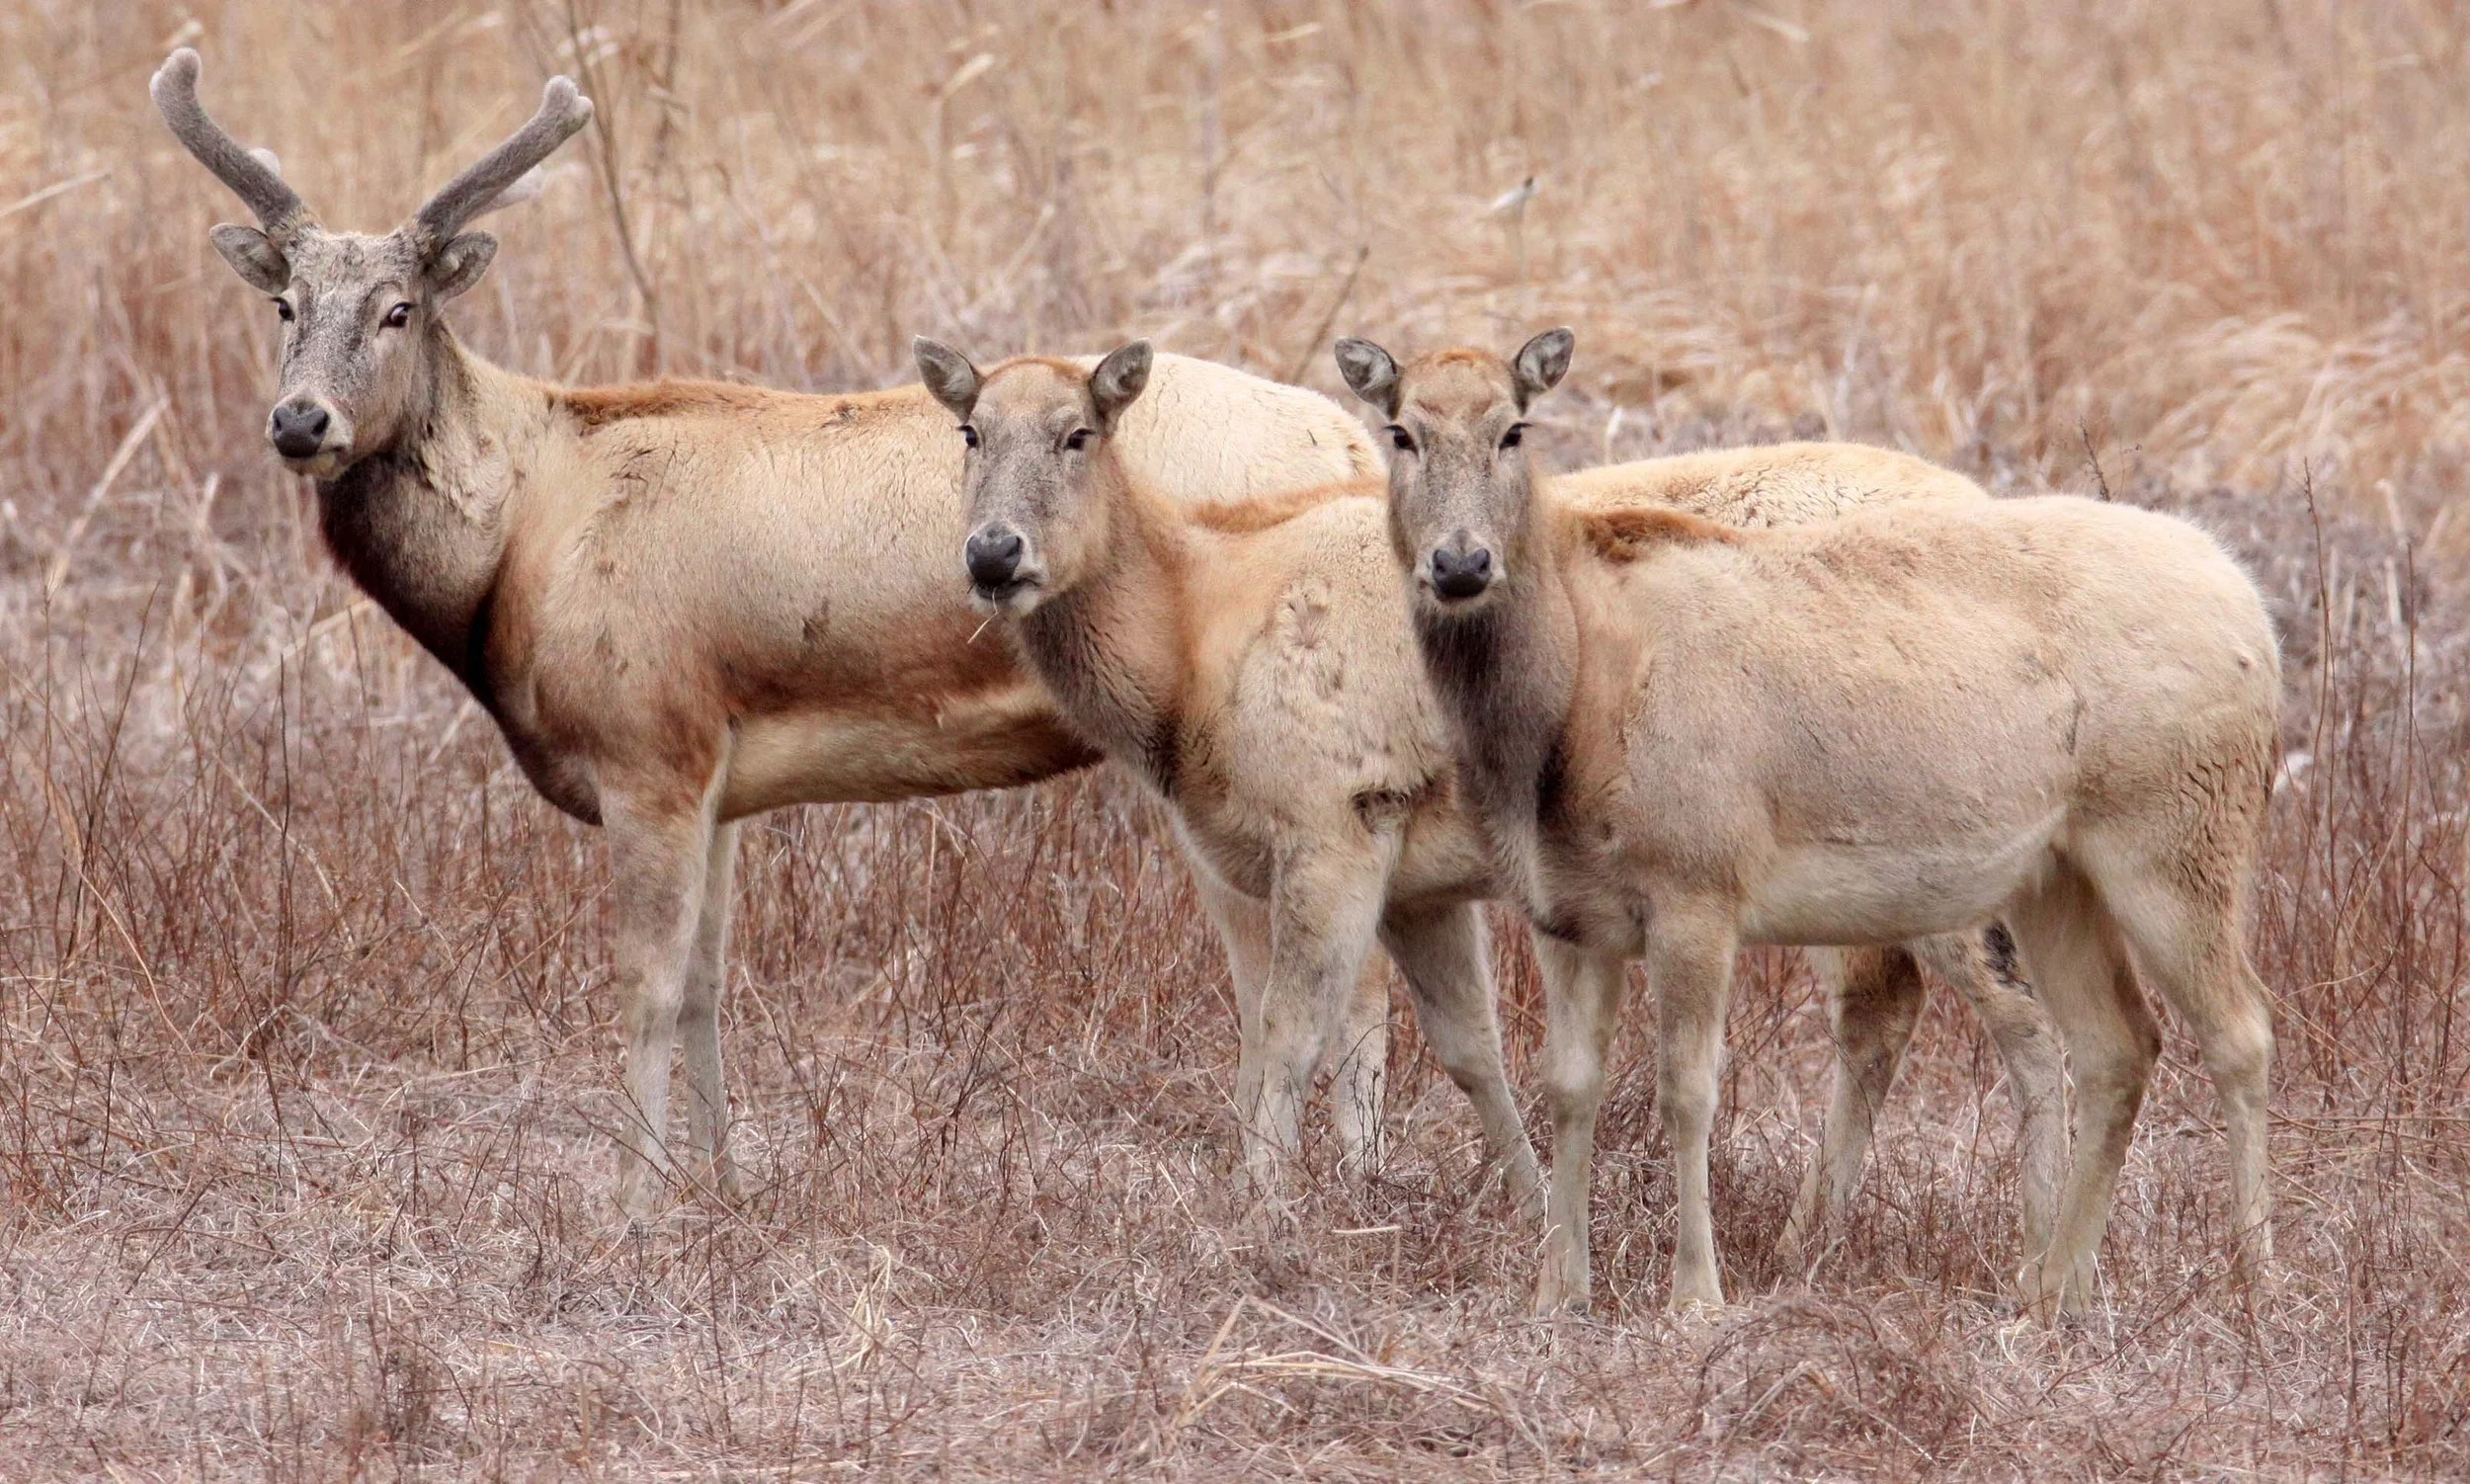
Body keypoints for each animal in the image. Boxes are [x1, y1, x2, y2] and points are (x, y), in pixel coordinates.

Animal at [152, 50, 1403, 1222]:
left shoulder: (647, 739)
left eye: (398, 309)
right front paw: (721, 1179)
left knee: (1333, 975)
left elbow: (647, 981)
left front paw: (634, 1198)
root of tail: (1352, 443)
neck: (524, 532)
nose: (299, 420)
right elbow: (709, 981)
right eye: (284, 305)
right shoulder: (714, 771)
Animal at [918, 337, 2068, 1251]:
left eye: (1077, 433)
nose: (992, 554)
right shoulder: (1413, 877)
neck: (1193, 640)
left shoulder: (1337, 814)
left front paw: (1255, 1222)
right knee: (1890, 1004)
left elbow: (1290, 1036)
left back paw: (2037, 1257)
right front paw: (1531, 1207)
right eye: (969, 432)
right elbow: (1469, 1050)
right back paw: (1810, 1237)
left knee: (2020, 1021)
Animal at [1341, 328, 2280, 1320]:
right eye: (1401, 431)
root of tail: (2256, 617)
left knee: (2241, 1029)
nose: (1461, 565)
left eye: (1514, 429)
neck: (1562, 722)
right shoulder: (1563, 914)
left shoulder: (1699, 884)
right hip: (2055, 878)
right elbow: (1566, 1087)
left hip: (2179, 835)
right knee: (2117, 1046)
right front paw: (1558, 1290)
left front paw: (1696, 1296)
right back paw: (2051, 1292)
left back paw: (2252, 1275)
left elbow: (1688, 1091)